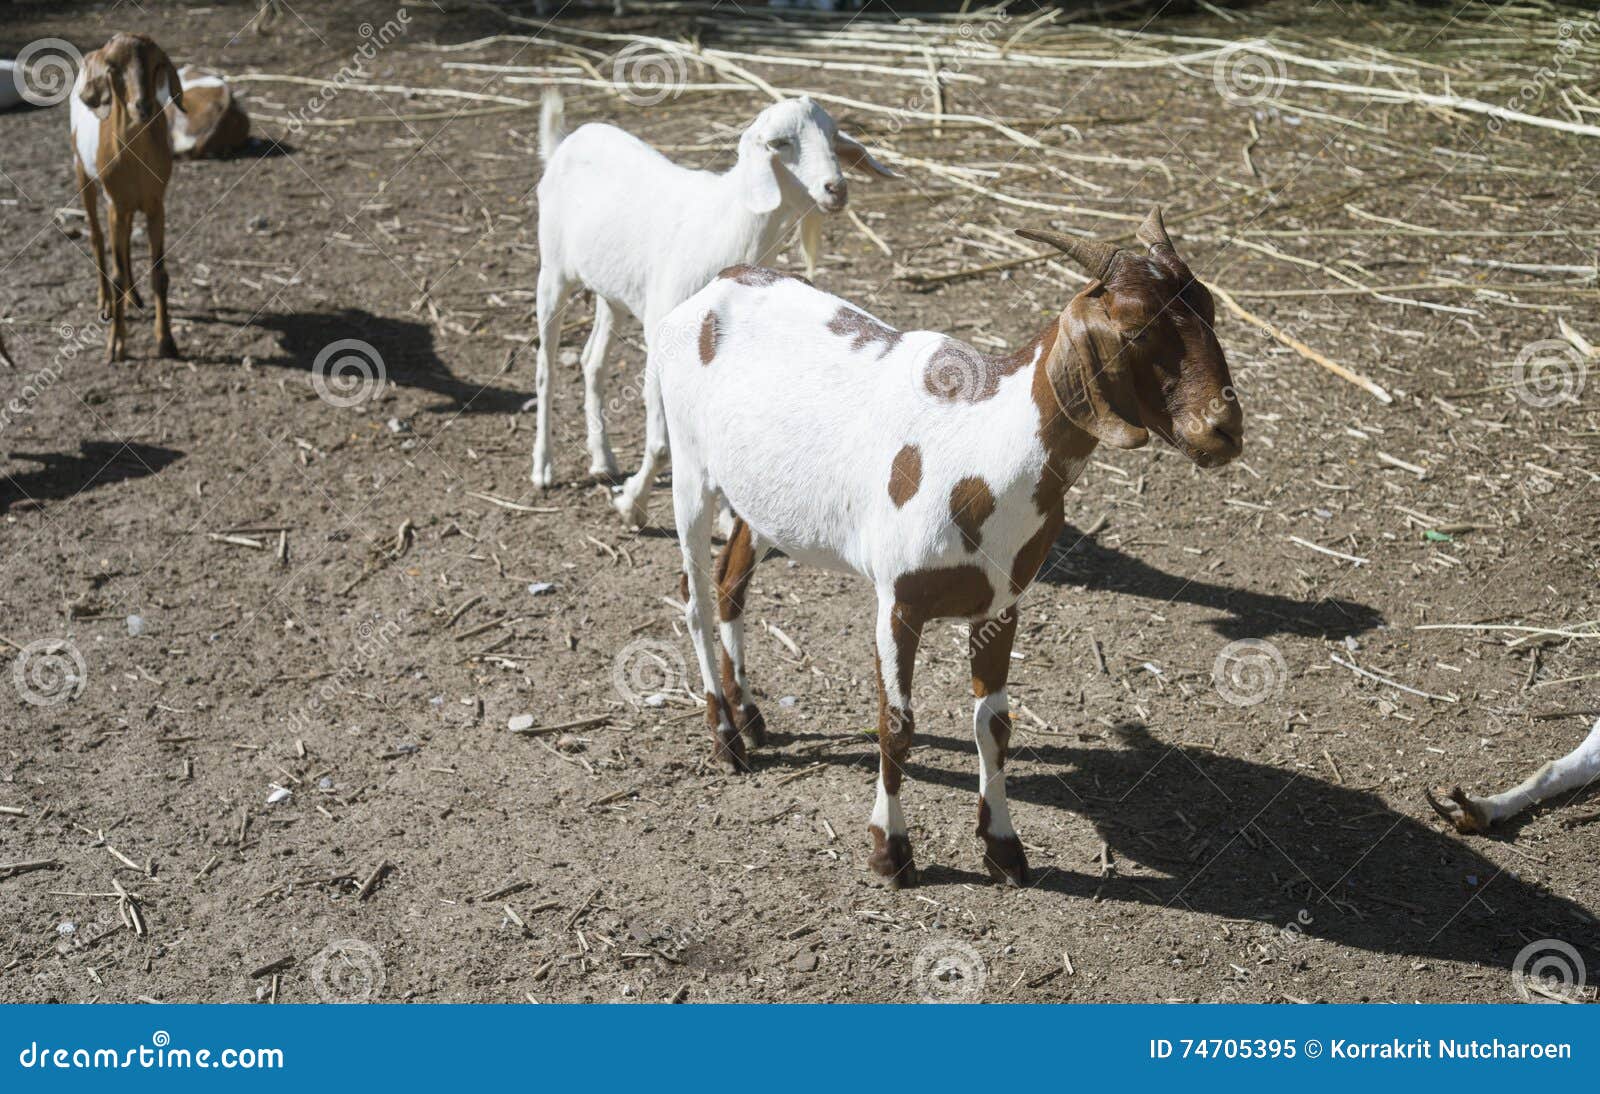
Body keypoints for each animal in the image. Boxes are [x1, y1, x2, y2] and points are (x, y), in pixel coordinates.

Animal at [70, 33, 183, 362]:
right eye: (114, 68)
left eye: (157, 64)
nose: (142, 105)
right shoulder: (115, 205)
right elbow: (116, 273)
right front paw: (116, 346)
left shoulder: (156, 204)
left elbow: (160, 274)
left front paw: (166, 341)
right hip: (82, 173)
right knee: (96, 236)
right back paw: (105, 303)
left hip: (131, 205)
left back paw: (135, 297)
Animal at [531, 89, 893, 489]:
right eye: (779, 143)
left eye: (833, 135)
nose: (836, 189)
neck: (729, 228)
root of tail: (567, 141)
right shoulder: (664, 331)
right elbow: (662, 443)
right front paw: (634, 497)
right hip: (553, 272)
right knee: (545, 368)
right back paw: (543, 468)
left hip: (613, 292)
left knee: (592, 361)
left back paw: (602, 460)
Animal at [649, 207, 1243, 887]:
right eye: (1138, 326)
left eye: (1209, 308)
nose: (1225, 428)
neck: (986, 442)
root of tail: (719, 284)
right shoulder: (898, 602)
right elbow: (897, 724)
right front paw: (890, 853)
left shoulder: (1001, 605)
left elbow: (995, 727)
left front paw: (1004, 849)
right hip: (690, 464)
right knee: (695, 597)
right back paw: (725, 736)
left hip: (762, 500)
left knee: (731, 583)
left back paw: (750, 715)